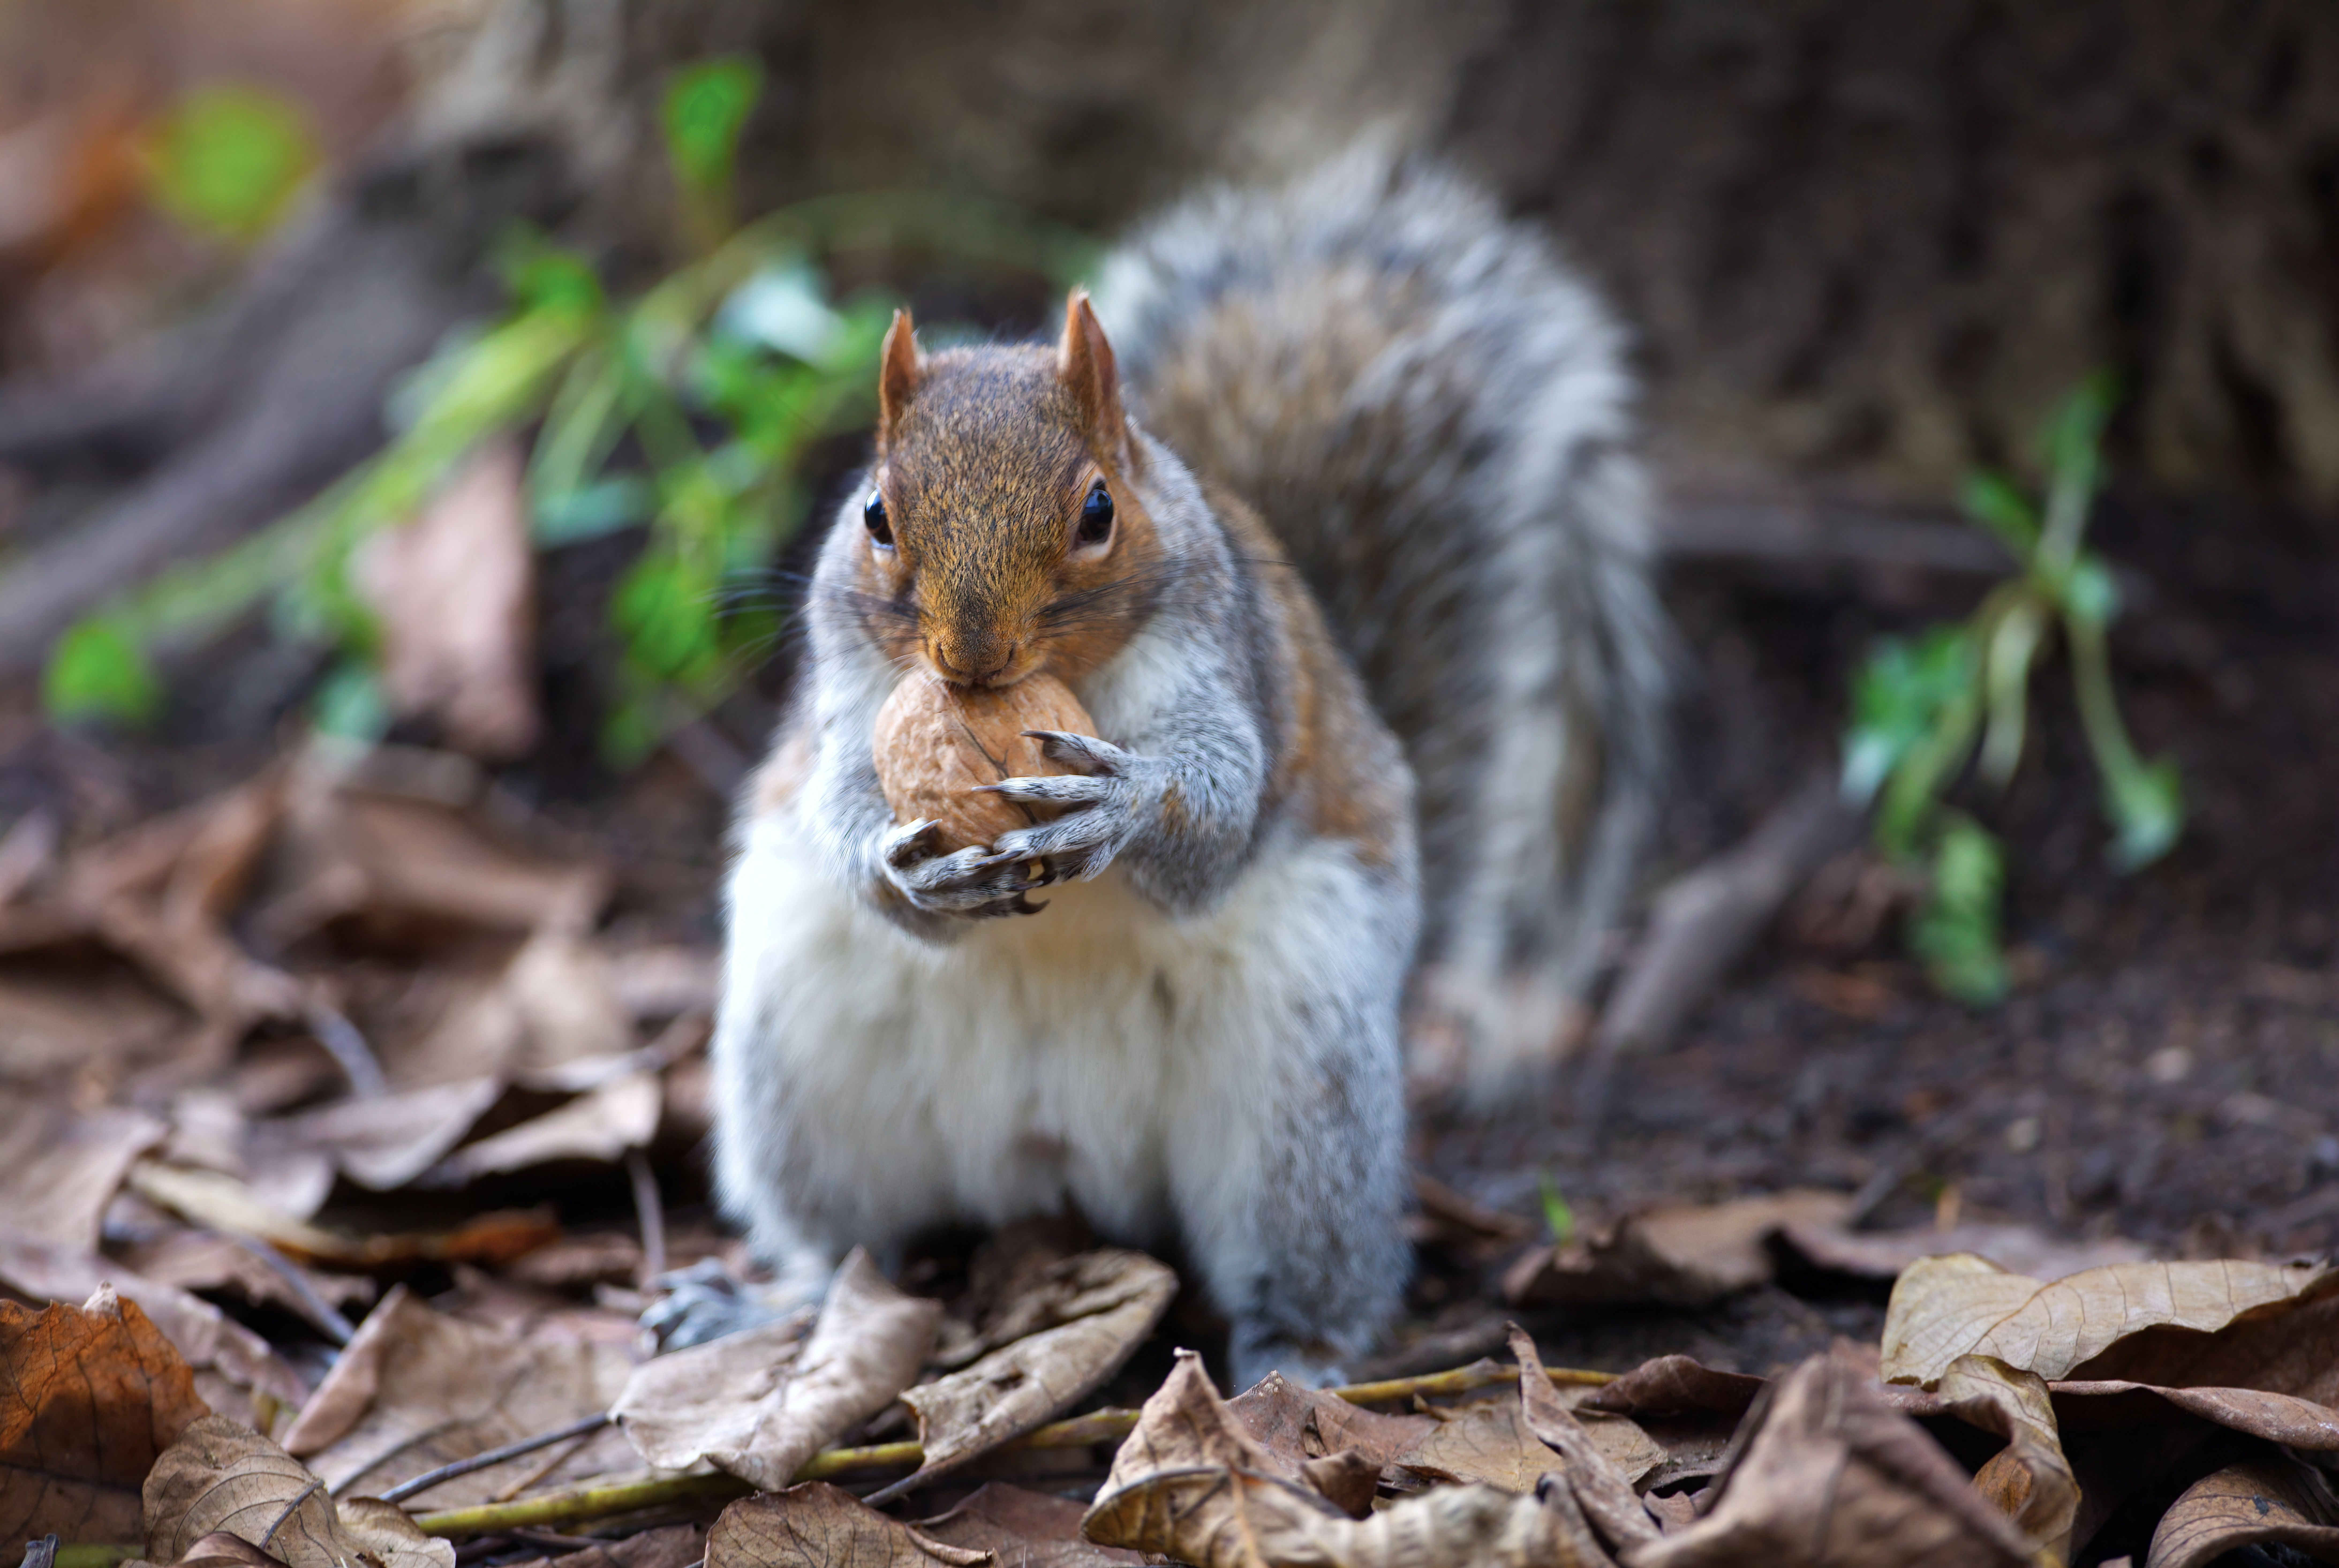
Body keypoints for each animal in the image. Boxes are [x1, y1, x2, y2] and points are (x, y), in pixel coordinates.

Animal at [662, 149, 1668, 1388]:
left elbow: (1219, 811)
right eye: (874, 514)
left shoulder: (1227, 671)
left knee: (1310, 1257)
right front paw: (902, 869)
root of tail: (1055, 1162)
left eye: (1099, 507)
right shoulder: (847, 702)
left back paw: (1301, 1360)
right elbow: (842, 803)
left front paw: (1124, 805)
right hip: (803, 1066)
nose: (971, 659)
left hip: (1301, 1090)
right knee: (847, 1239)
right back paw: (767, 1303)